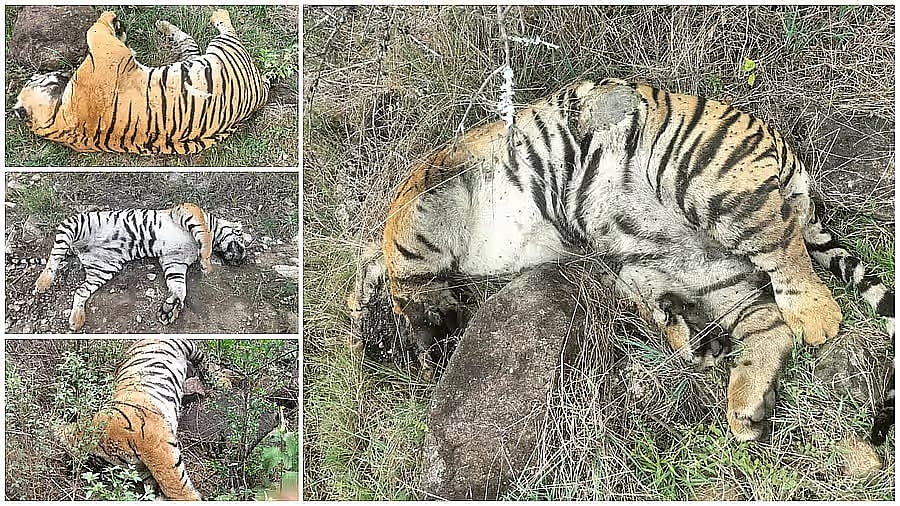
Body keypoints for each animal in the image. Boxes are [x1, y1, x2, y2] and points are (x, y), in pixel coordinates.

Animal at [11, 9, 269, 154]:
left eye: (33, 78)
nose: (62, 72)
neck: (57, 122)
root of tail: (258, 92)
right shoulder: (109, 54)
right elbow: (95, 30)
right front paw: (110, 17)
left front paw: (117, 25)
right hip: (222, 50)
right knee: (225, 28)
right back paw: (217, 12)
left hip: (195, 59)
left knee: (189, 42)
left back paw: (163, 24)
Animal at [32, 202, 247, 331]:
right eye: (244, 239)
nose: (241, 259)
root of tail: (79, 250)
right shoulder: (188, 210)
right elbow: (205, 237)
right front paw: (206, 265)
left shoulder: (175, 262)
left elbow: (179, 287)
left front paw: (171, 309)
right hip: (77, 223)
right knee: (54, 256)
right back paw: (43, 282)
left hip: (104, 269)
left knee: (80, 292)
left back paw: (76, 320)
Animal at [57, 338, 219, 500]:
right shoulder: (140, 466)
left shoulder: (155, 446)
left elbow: (171, 481)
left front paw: (190, 498)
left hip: (185, 346)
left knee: (205, 360)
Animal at [350, 78, 894, 442]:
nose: (369, 352)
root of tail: (784, 149)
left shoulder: (424, 198)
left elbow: (403, 260)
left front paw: (417, 331)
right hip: (692, 268)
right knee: (766, 327)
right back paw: (738, 399)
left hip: (707, 181)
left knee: (784, 251)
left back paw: (815, 318)